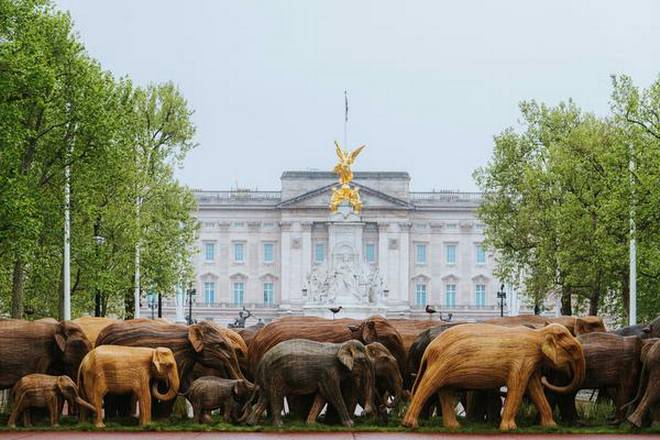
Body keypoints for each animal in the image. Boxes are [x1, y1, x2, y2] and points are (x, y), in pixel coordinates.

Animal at [244, 339, 376, 427]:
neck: (340, 346)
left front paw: (310, 423)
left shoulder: (325, 375)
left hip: (267, 377)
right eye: (363, 360)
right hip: (275, 376)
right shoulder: (329, 371)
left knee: (264, 397)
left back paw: (251, 423)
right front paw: (350, 424)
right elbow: (333, 394)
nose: (363, 413)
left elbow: (322, 396)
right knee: (276, 397)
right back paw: (279, 426)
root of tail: (261, 361)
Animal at [402, 323, 585, 431]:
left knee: (446, 391)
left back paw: (454, 427)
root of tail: (429, 348)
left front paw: (551, 427)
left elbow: (535, 389)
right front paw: (510, 429)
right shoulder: (522, 360)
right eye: (571, 349)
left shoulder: (531, 363)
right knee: (427, 386)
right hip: (441, 364)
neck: (538, 334)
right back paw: (410, 425)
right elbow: (517, 387)